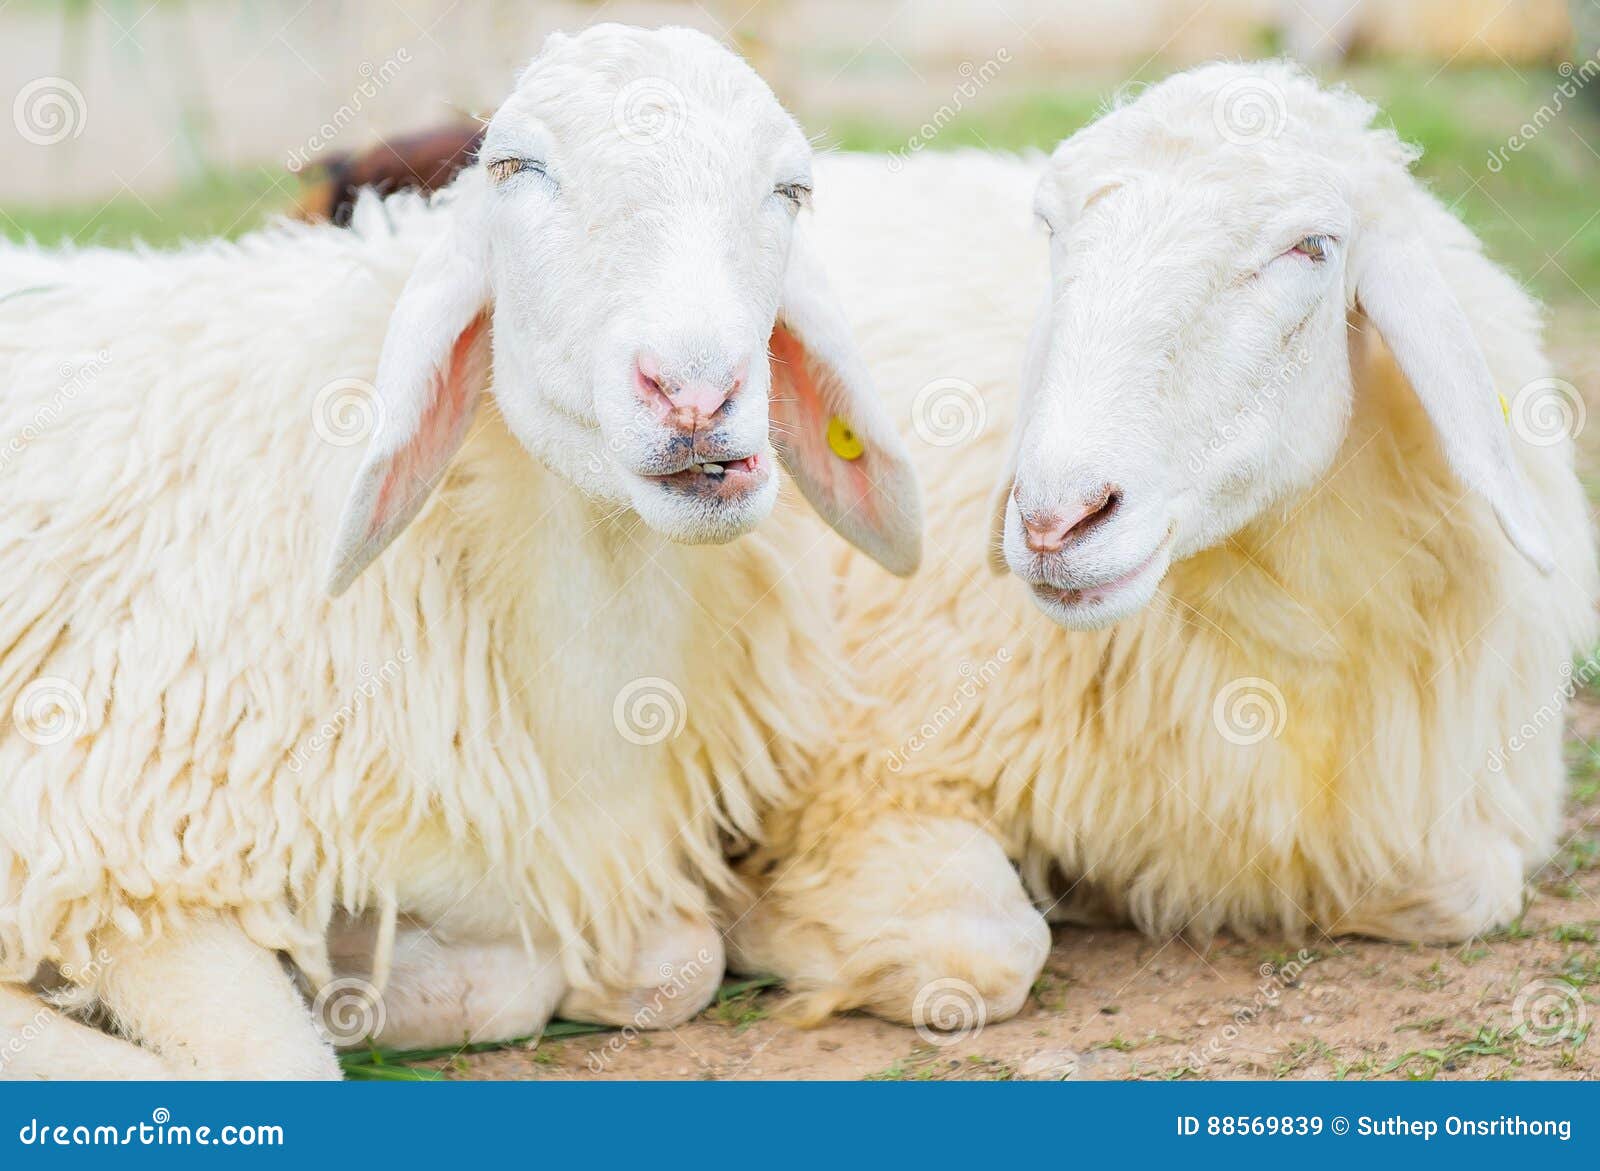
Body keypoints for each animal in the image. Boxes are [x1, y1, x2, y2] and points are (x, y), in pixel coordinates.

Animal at [0, 23, 920, 1078]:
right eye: (515, 168)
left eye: (791, 188)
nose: (695, 395)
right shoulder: (107, 852)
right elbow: (269, 1060)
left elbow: (670, 966)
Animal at [723, 62, 1598, 1029]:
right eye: (1051, 226)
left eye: (1314, 247)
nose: (1054, 520)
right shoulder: (872, 772)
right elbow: (980, 952)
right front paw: (759, 919)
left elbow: (1466, 887)